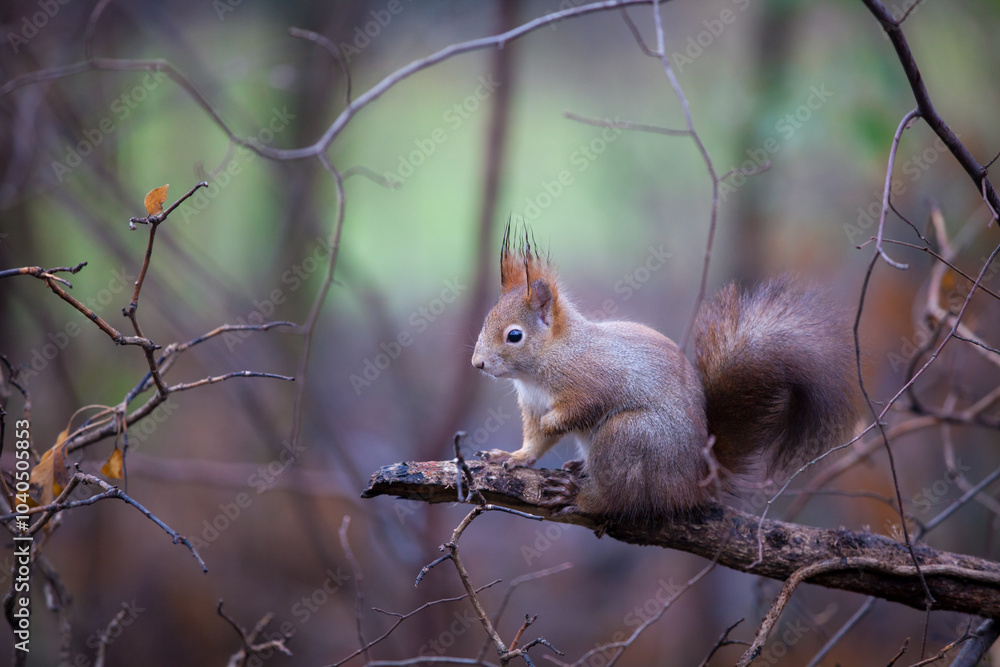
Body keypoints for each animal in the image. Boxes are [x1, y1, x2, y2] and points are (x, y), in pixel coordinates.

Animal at [471, 226, 859, 520]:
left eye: (514, 335)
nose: (478, 364)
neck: (542, 366)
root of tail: (695, 483)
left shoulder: (595, 378)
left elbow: (583, 408)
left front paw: (554, 424)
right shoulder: (532, 405)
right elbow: (536, 440)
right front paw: (513, 456)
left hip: (627, 438)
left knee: (615, 499)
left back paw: (578, 495)